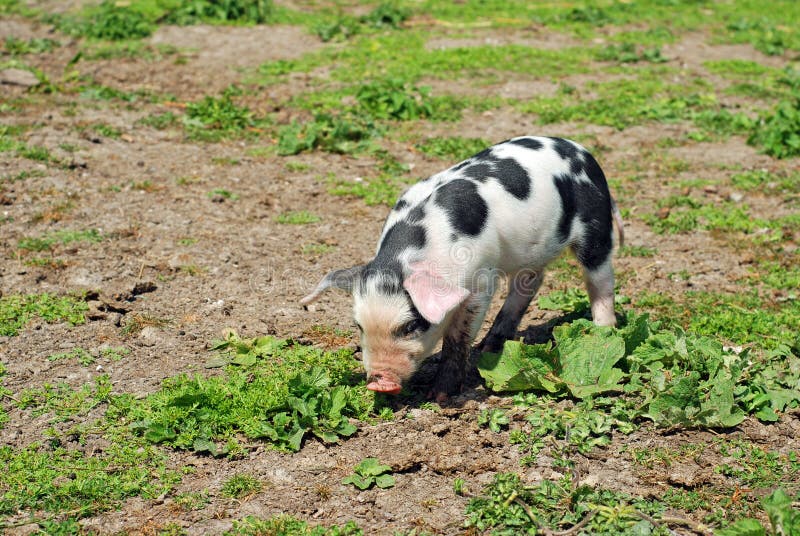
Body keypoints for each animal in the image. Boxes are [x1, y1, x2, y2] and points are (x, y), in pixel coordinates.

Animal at [300, 136, 623, 401]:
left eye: (410, 326)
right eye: (358, 325)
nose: (379, 382)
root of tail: (582, 151)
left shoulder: (481, 281)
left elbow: (457, 337)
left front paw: (440, 396)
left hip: (596, 225)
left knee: (601, 280)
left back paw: (603, 333)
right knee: (530, 282)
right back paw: (488, 348)